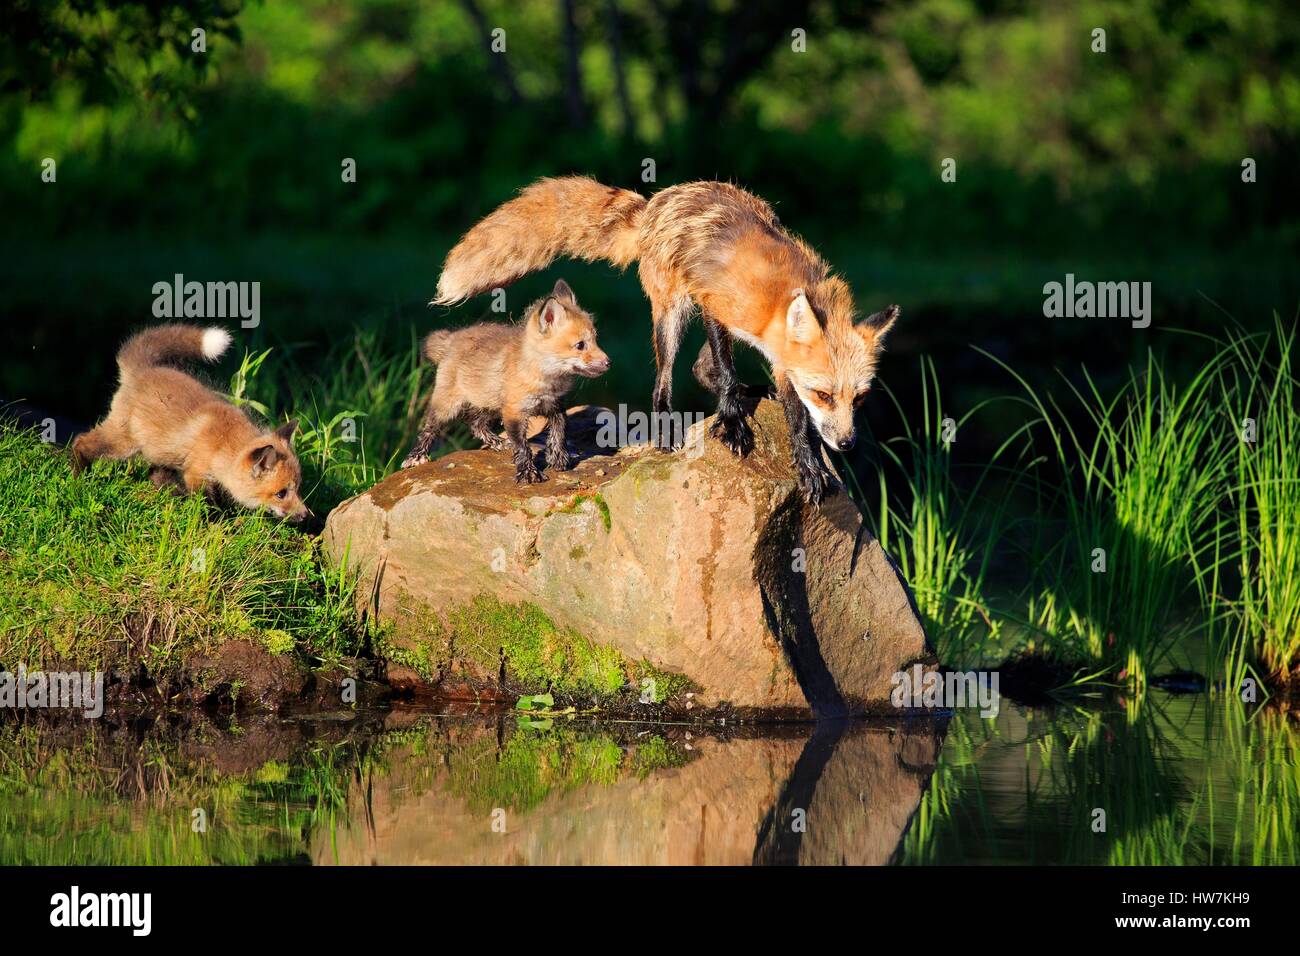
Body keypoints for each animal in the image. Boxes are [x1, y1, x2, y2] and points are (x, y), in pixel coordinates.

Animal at [70, 323, 312, 522]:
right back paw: (78, 477)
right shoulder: (197, 473)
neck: (223, 446)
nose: (305, 516)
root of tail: (144, 368)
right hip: (122, 443)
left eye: (299, 488)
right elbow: (206, 504)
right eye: (281, 493)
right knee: (81, 441)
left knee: (154, 473)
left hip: (162, 450)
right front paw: (217, 524)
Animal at [401, 278, 610, 483]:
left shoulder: (555, 405)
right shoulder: (513, 411)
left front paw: (558, 458)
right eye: (580, 345)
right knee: (430, 427)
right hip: (449, 406)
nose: (609, 363)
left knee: (474, 423)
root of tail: (452, 338)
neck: (544, 380)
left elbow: (559, 432)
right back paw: (416, 456)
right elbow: (523, 446)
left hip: (490, 403)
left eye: (595, 340)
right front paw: (528, 472)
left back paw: (497, 443)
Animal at [431, 176, 900, 505]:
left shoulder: (785, 363)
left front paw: (808, 467)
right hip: (672, 314)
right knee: (667, 381)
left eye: (858, 398)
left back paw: (753, 391)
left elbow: (796, 419)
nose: (847, 443)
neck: (775, 302)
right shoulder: (715, 307)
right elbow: (727, 375)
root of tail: (657, 200)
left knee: (699, 367)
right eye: (824, 395)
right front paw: (733, 423)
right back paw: (666, 426)